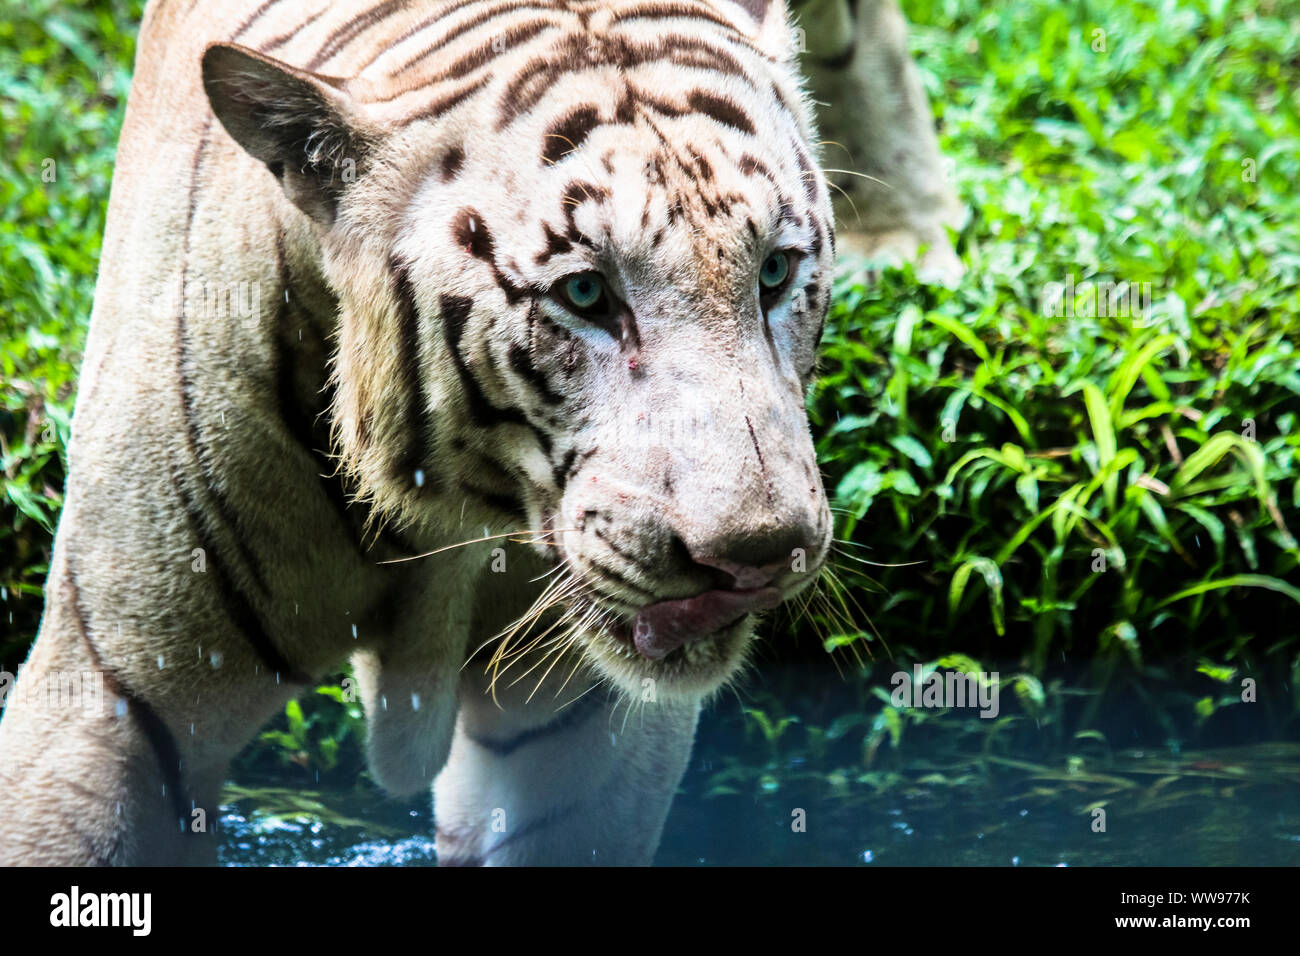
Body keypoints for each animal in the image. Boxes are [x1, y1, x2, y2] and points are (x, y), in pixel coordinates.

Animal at [0, 0, 959, 866]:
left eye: (774, 272)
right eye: (585, 294)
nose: (756, 558)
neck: (442, 517)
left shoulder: (575, 718)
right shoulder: (112, 696)